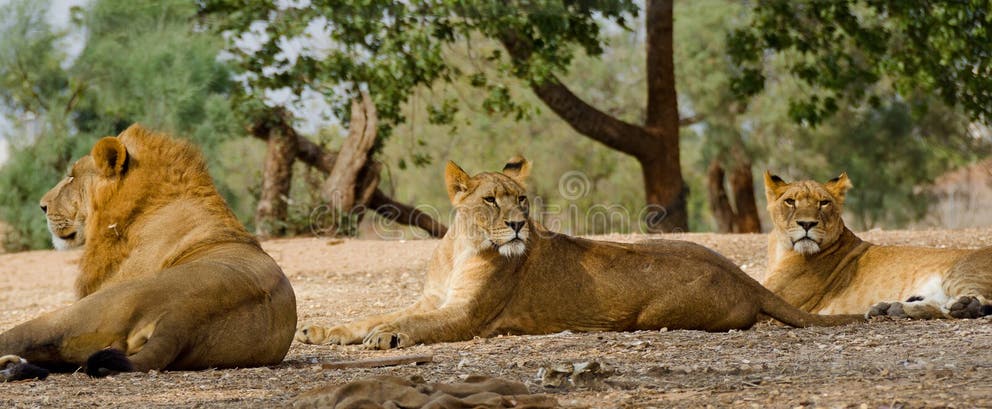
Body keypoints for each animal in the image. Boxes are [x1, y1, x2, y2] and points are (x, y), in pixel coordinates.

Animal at [295, 157, 863, 350]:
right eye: (491, 200)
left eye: (522, 200)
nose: (518, 224)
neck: (462, 247)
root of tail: (744, 276)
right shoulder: (432, 299)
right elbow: (374, 312)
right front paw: (323, 331)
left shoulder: (467, 315)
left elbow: (408, 324)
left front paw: (386, 336)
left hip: (654, 314)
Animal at [762, 171, 992, 320]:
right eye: (790, 201)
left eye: (823, 203)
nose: (807, 224)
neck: (782, 249)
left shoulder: (774, 301)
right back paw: (891, 309)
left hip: (961, 273)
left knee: (979, 303)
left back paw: (965, 306)